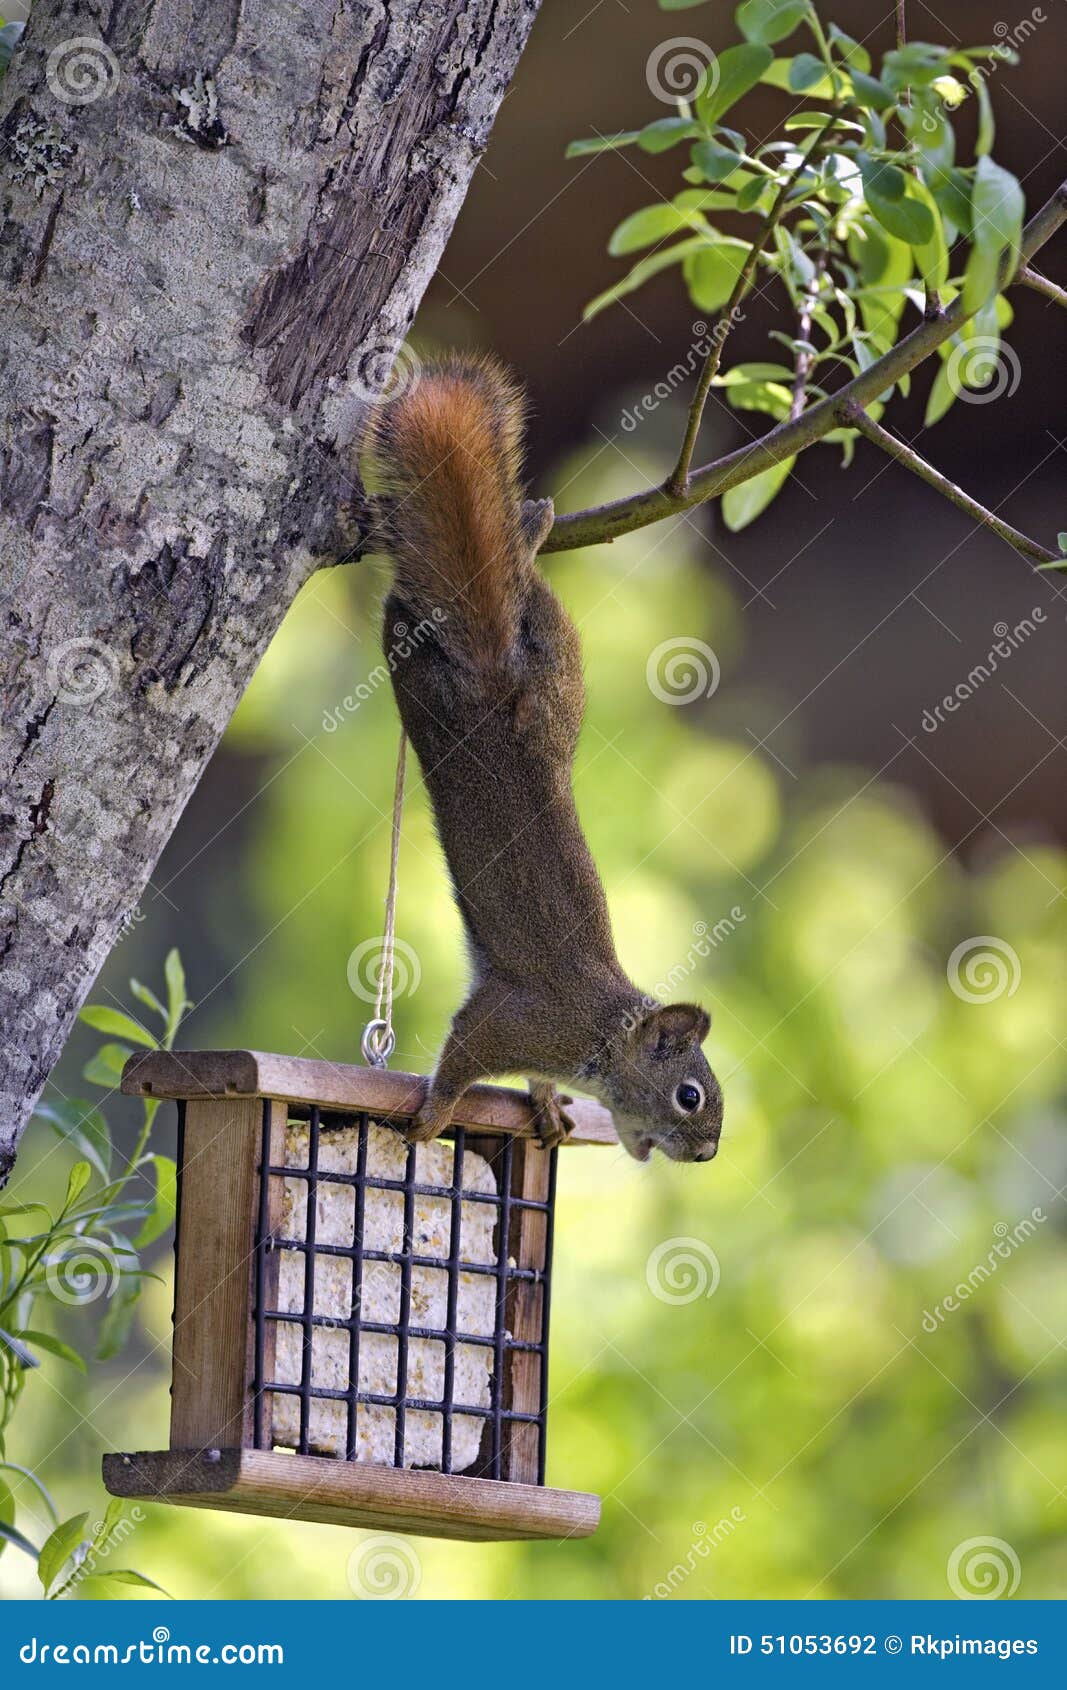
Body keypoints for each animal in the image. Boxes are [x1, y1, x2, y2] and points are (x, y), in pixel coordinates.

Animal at [363, 355, 723, 1163]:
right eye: (688, 1095)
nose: (707, 1153)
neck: (602, 1037)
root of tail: (499, 682)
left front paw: (548, 1104)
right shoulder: (515, 1024)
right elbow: (460, 1058)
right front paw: (433, 1118)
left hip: (559, 664)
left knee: (522, 582)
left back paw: (531, 529)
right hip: (430, 697)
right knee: (404, 623)